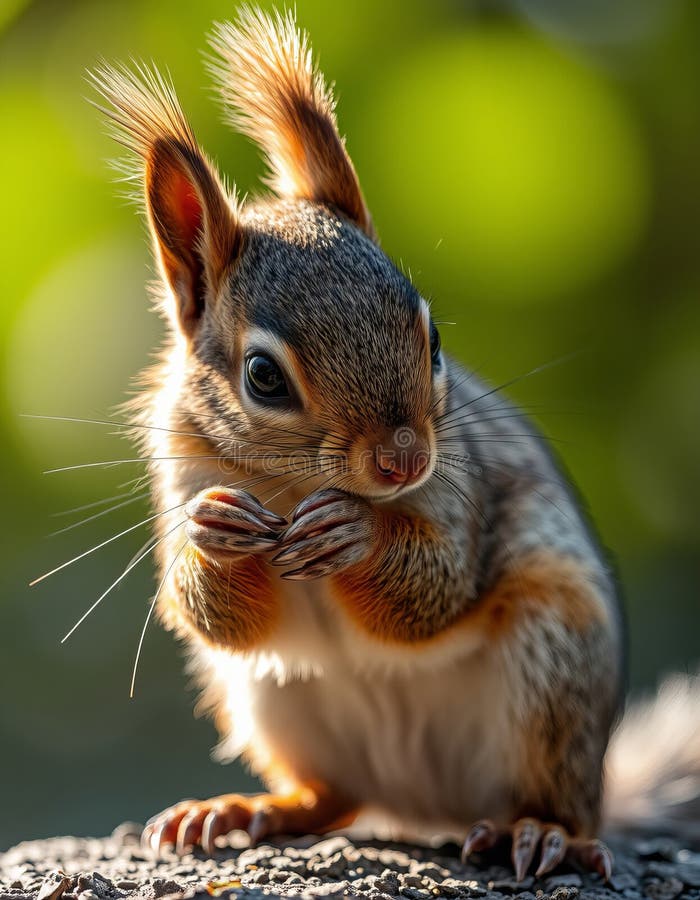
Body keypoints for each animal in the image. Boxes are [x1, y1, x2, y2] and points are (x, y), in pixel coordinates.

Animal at [89, 7, 700, 882]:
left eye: (433, 339)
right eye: (263, 378)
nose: (403, 460)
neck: (288, 488)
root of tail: (421, 806)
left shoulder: (458, 488)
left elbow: (435, 588)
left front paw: (360, 531)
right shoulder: (177, 469)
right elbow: (215, 615)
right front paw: (216, 536)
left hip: (554, 661)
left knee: (552, 799)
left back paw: (537, 832)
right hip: (275, 704)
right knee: (332, 796)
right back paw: (243, 810)